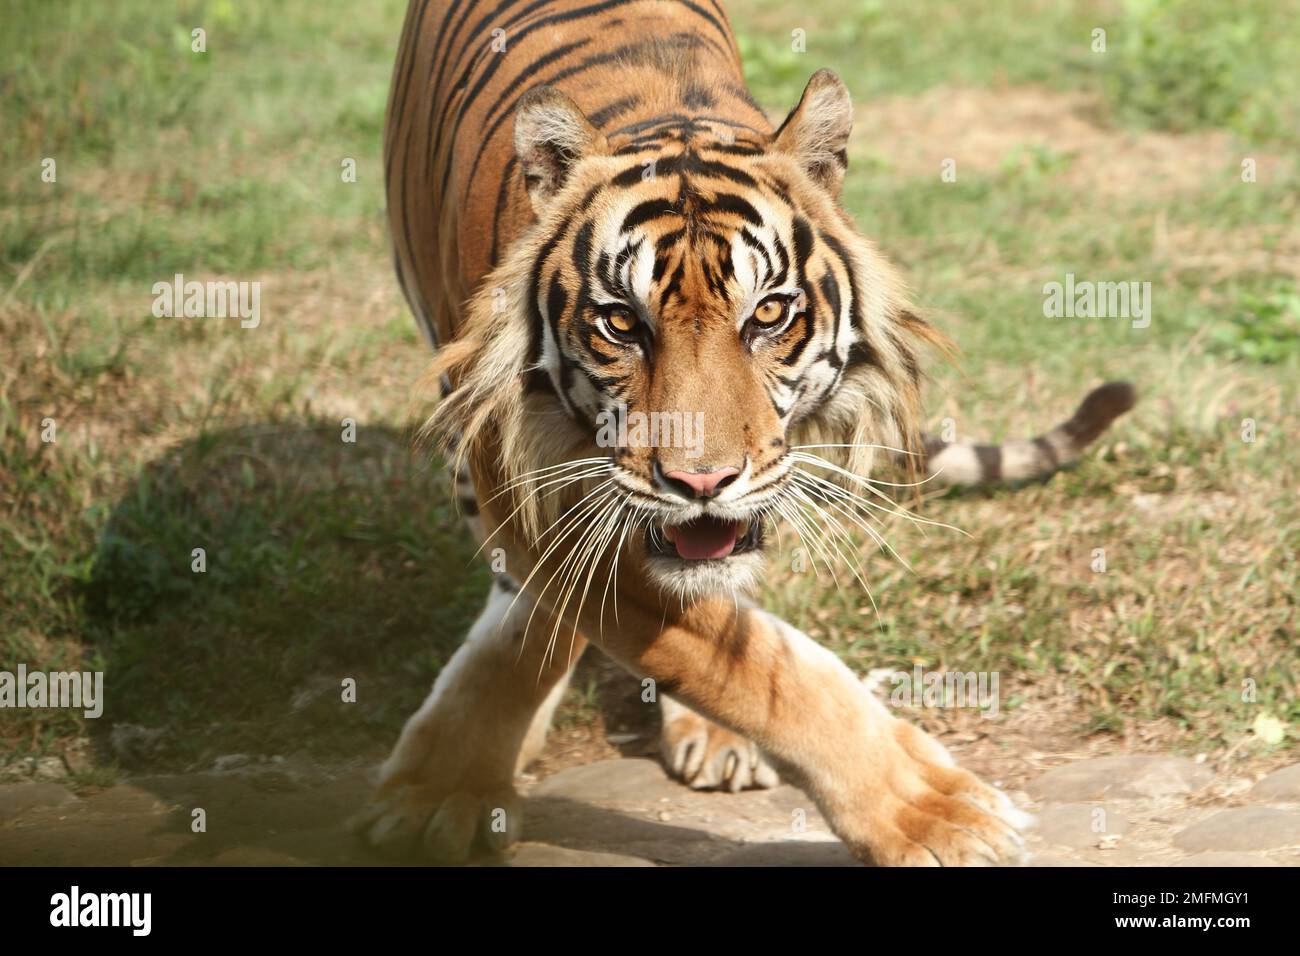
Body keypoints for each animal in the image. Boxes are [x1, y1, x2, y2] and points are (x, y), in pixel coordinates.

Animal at [352, 0, 1135, 865]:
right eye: (620, 323)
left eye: (768, 314)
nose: (701, 483)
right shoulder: (516, 460)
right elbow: (744, 667)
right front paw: (936, 816)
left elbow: (718, 641)